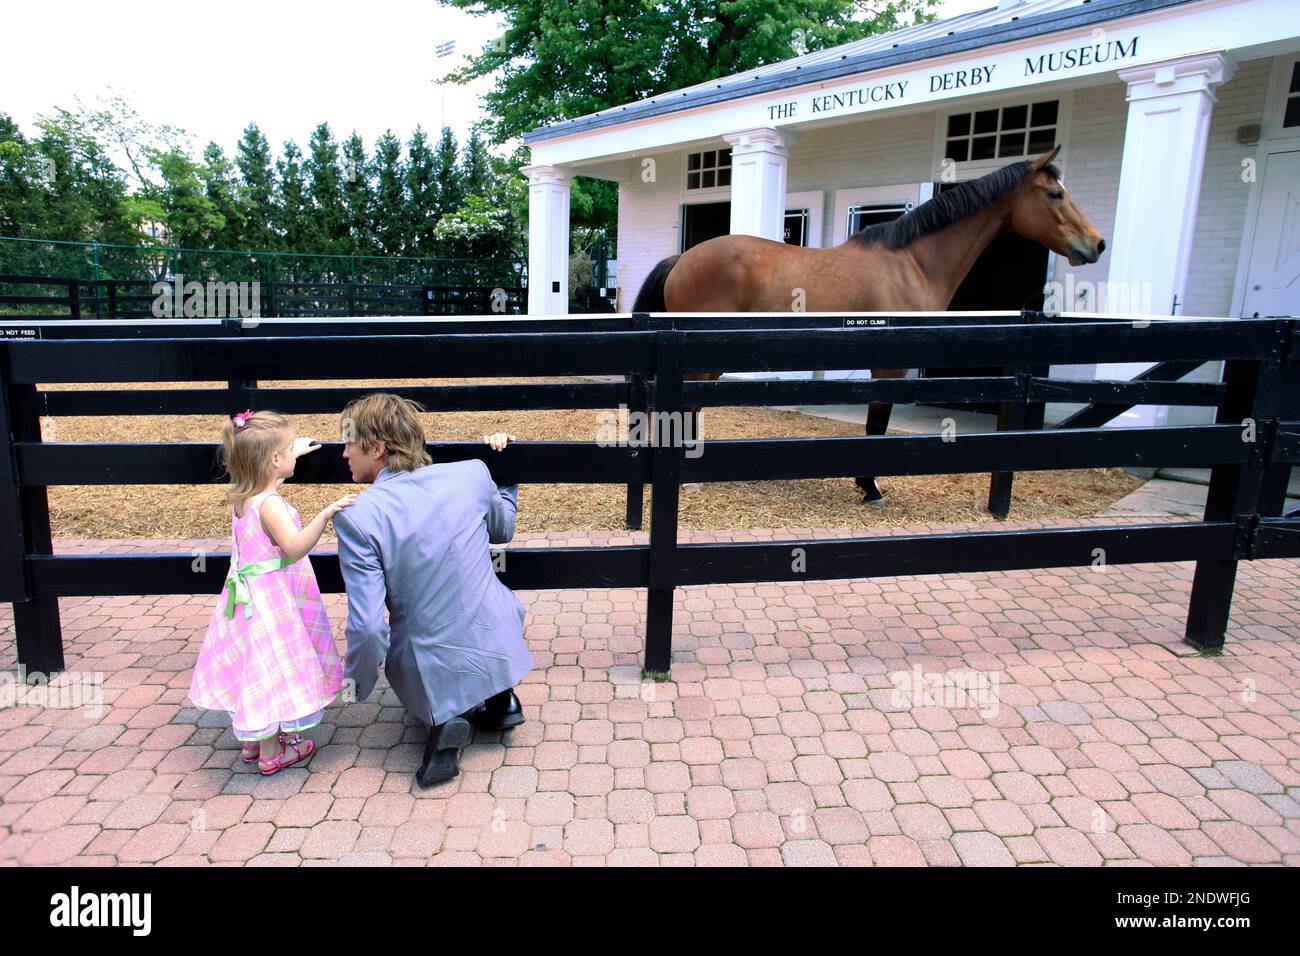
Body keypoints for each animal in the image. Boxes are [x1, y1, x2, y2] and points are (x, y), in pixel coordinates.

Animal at [630, 146, 1106, 504]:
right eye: (1055, 194)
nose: (1097, 244)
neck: (912, 263)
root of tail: (682, 258)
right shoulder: (889, 363)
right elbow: (877, 425)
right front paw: (870, 487)